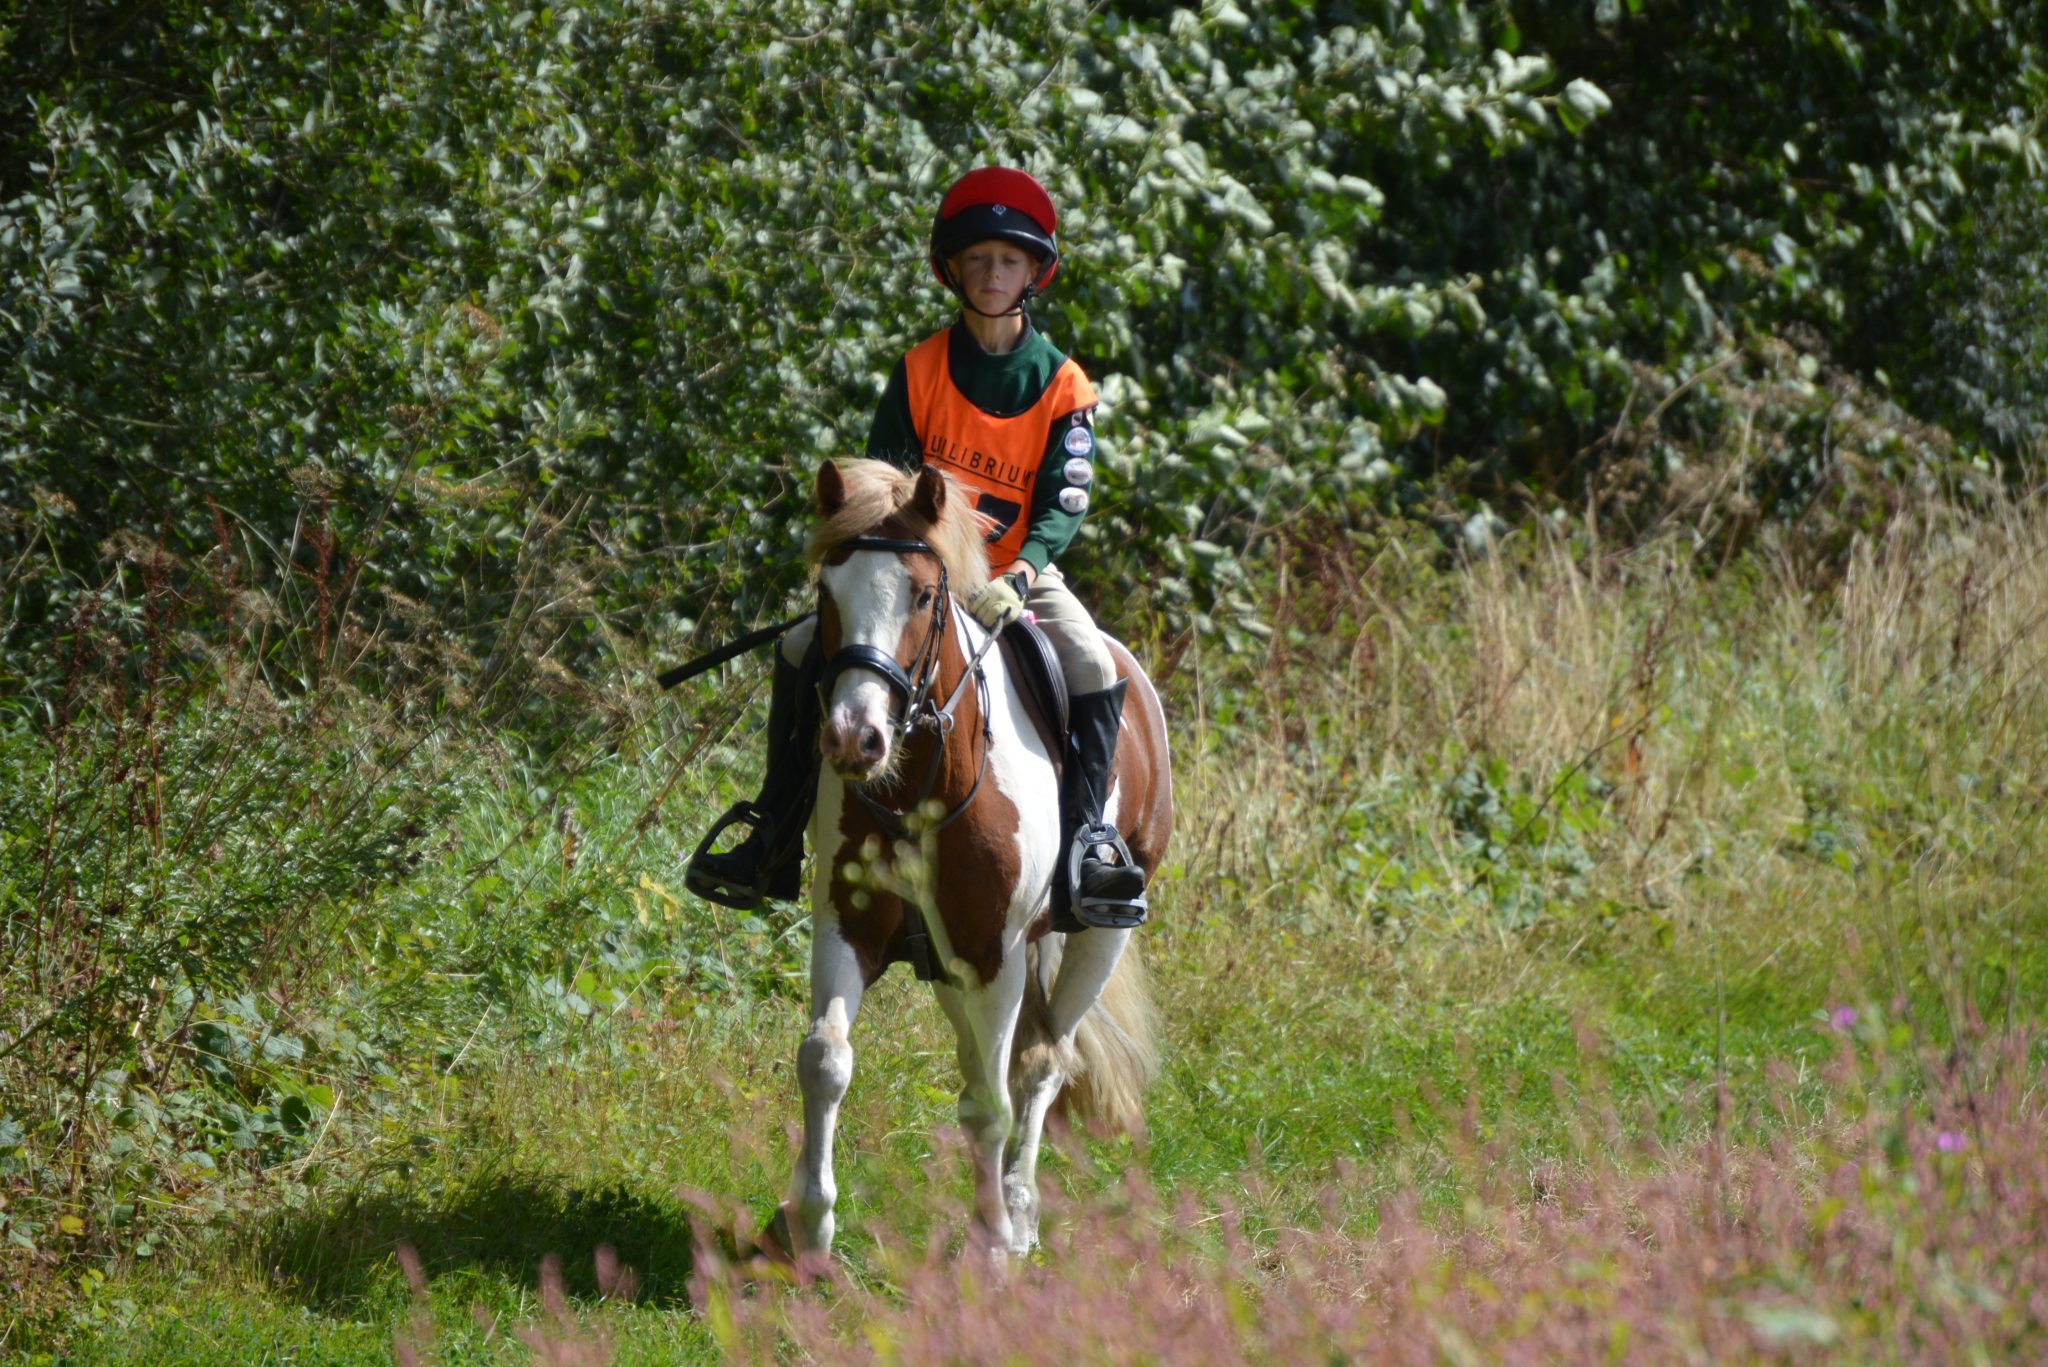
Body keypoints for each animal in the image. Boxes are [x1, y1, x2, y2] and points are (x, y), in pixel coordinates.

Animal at [767, 457, 1172, 1260]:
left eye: (924, 595)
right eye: (827, 593)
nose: (854, 738)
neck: (924, 784)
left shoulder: (996, 955)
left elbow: (990, 1102)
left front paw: (988, 1246)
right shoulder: (848, 924)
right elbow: (825, 1058)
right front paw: (810, 1224)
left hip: (1099, 936)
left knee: (1043, 1063)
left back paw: (1018, 1214)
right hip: (948, 964)